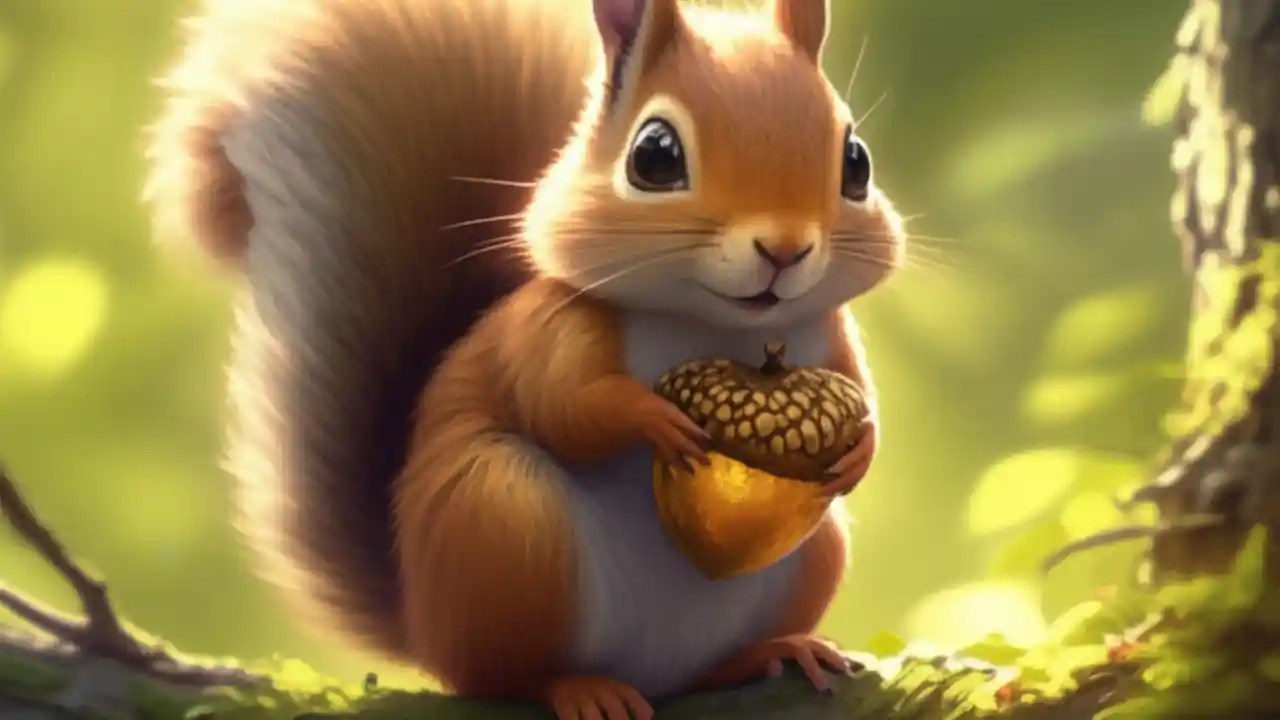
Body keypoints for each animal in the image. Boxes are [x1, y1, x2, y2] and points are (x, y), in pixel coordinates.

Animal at [144, 0, 904, 718]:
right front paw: (654, 418)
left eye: (857, 163)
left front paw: (862, 451)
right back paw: (579, 689)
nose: (785, 249)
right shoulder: (552, 326)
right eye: (654, 156)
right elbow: (565, 408)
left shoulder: (832, 337)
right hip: (504, 526)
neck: (724, 330)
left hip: (814, 551)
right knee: (507, 674)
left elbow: (865, 400)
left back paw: (770, 652)